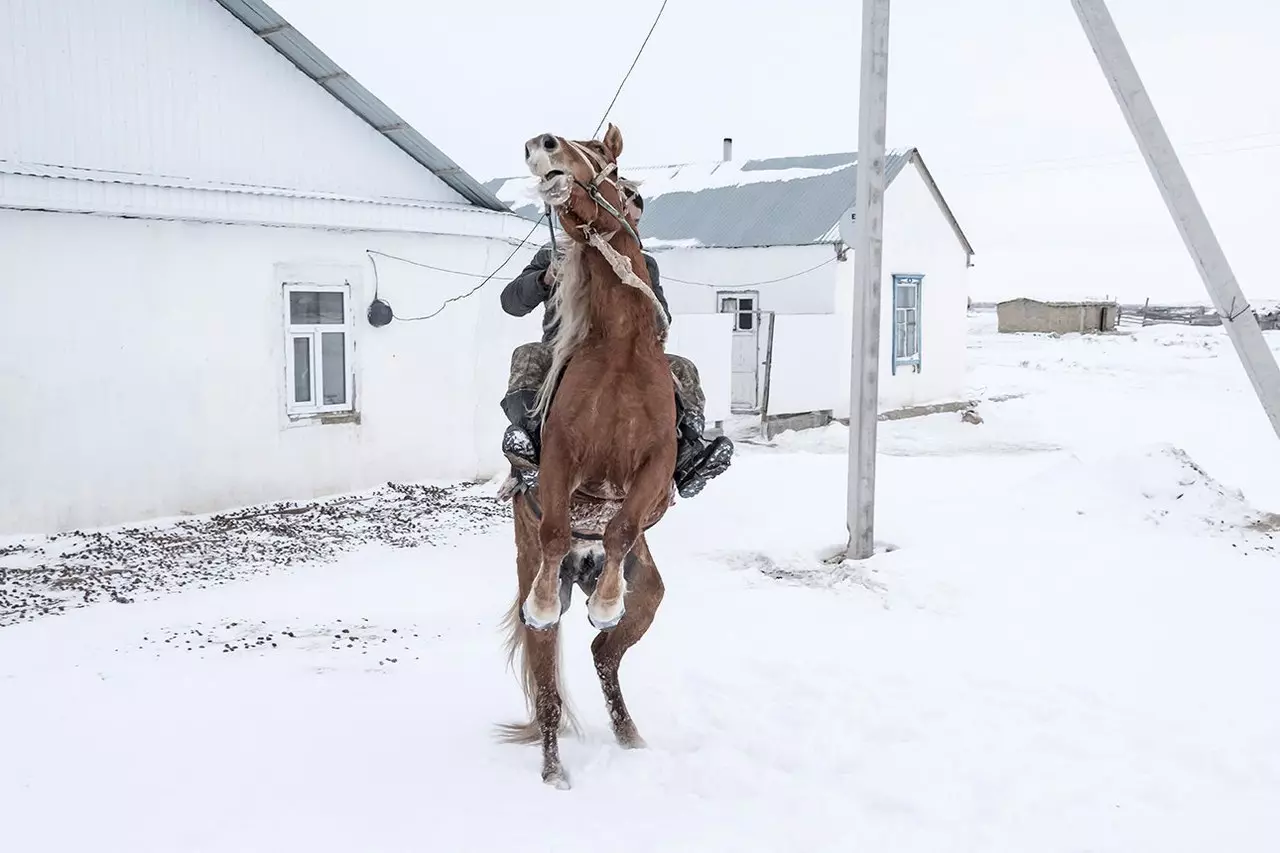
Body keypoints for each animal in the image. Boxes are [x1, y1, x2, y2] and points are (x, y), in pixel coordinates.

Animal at [496, 122, 680, 788]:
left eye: (605, 159)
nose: (542, 145)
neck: (621, 352)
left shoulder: (653, 465)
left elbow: (623, 525)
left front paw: (603, 606)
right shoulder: (562, 460)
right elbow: (554, 531)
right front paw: (547, 600)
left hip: (648, 596)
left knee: (605, 653)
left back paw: (631, 736)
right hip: (536, 598)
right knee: (549, 686)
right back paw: (555, 770)